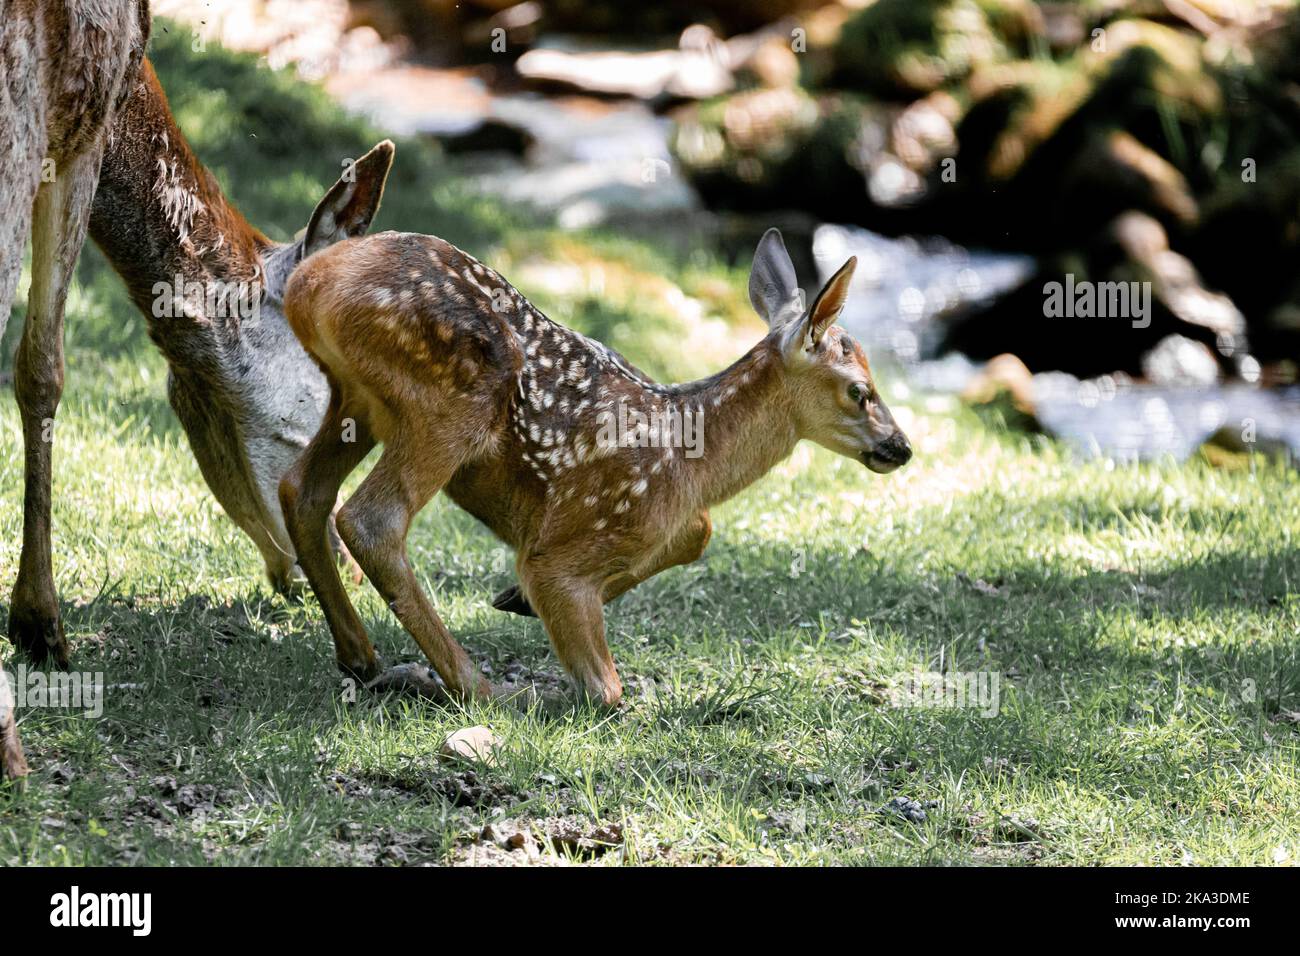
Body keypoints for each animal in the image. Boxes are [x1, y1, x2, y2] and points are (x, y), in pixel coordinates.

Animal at [279, 226, 913, 708]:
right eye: (860, 390)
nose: (900, 446)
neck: (693, 460)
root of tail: (306, 284)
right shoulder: (569, 545)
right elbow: (604, 686)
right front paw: (535, 640)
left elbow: (697, 531)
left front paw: (514, 599)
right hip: (450, 401)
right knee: (372, 519)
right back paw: (475, 687)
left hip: (356, 401)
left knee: (300, 488)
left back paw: (363, 658)